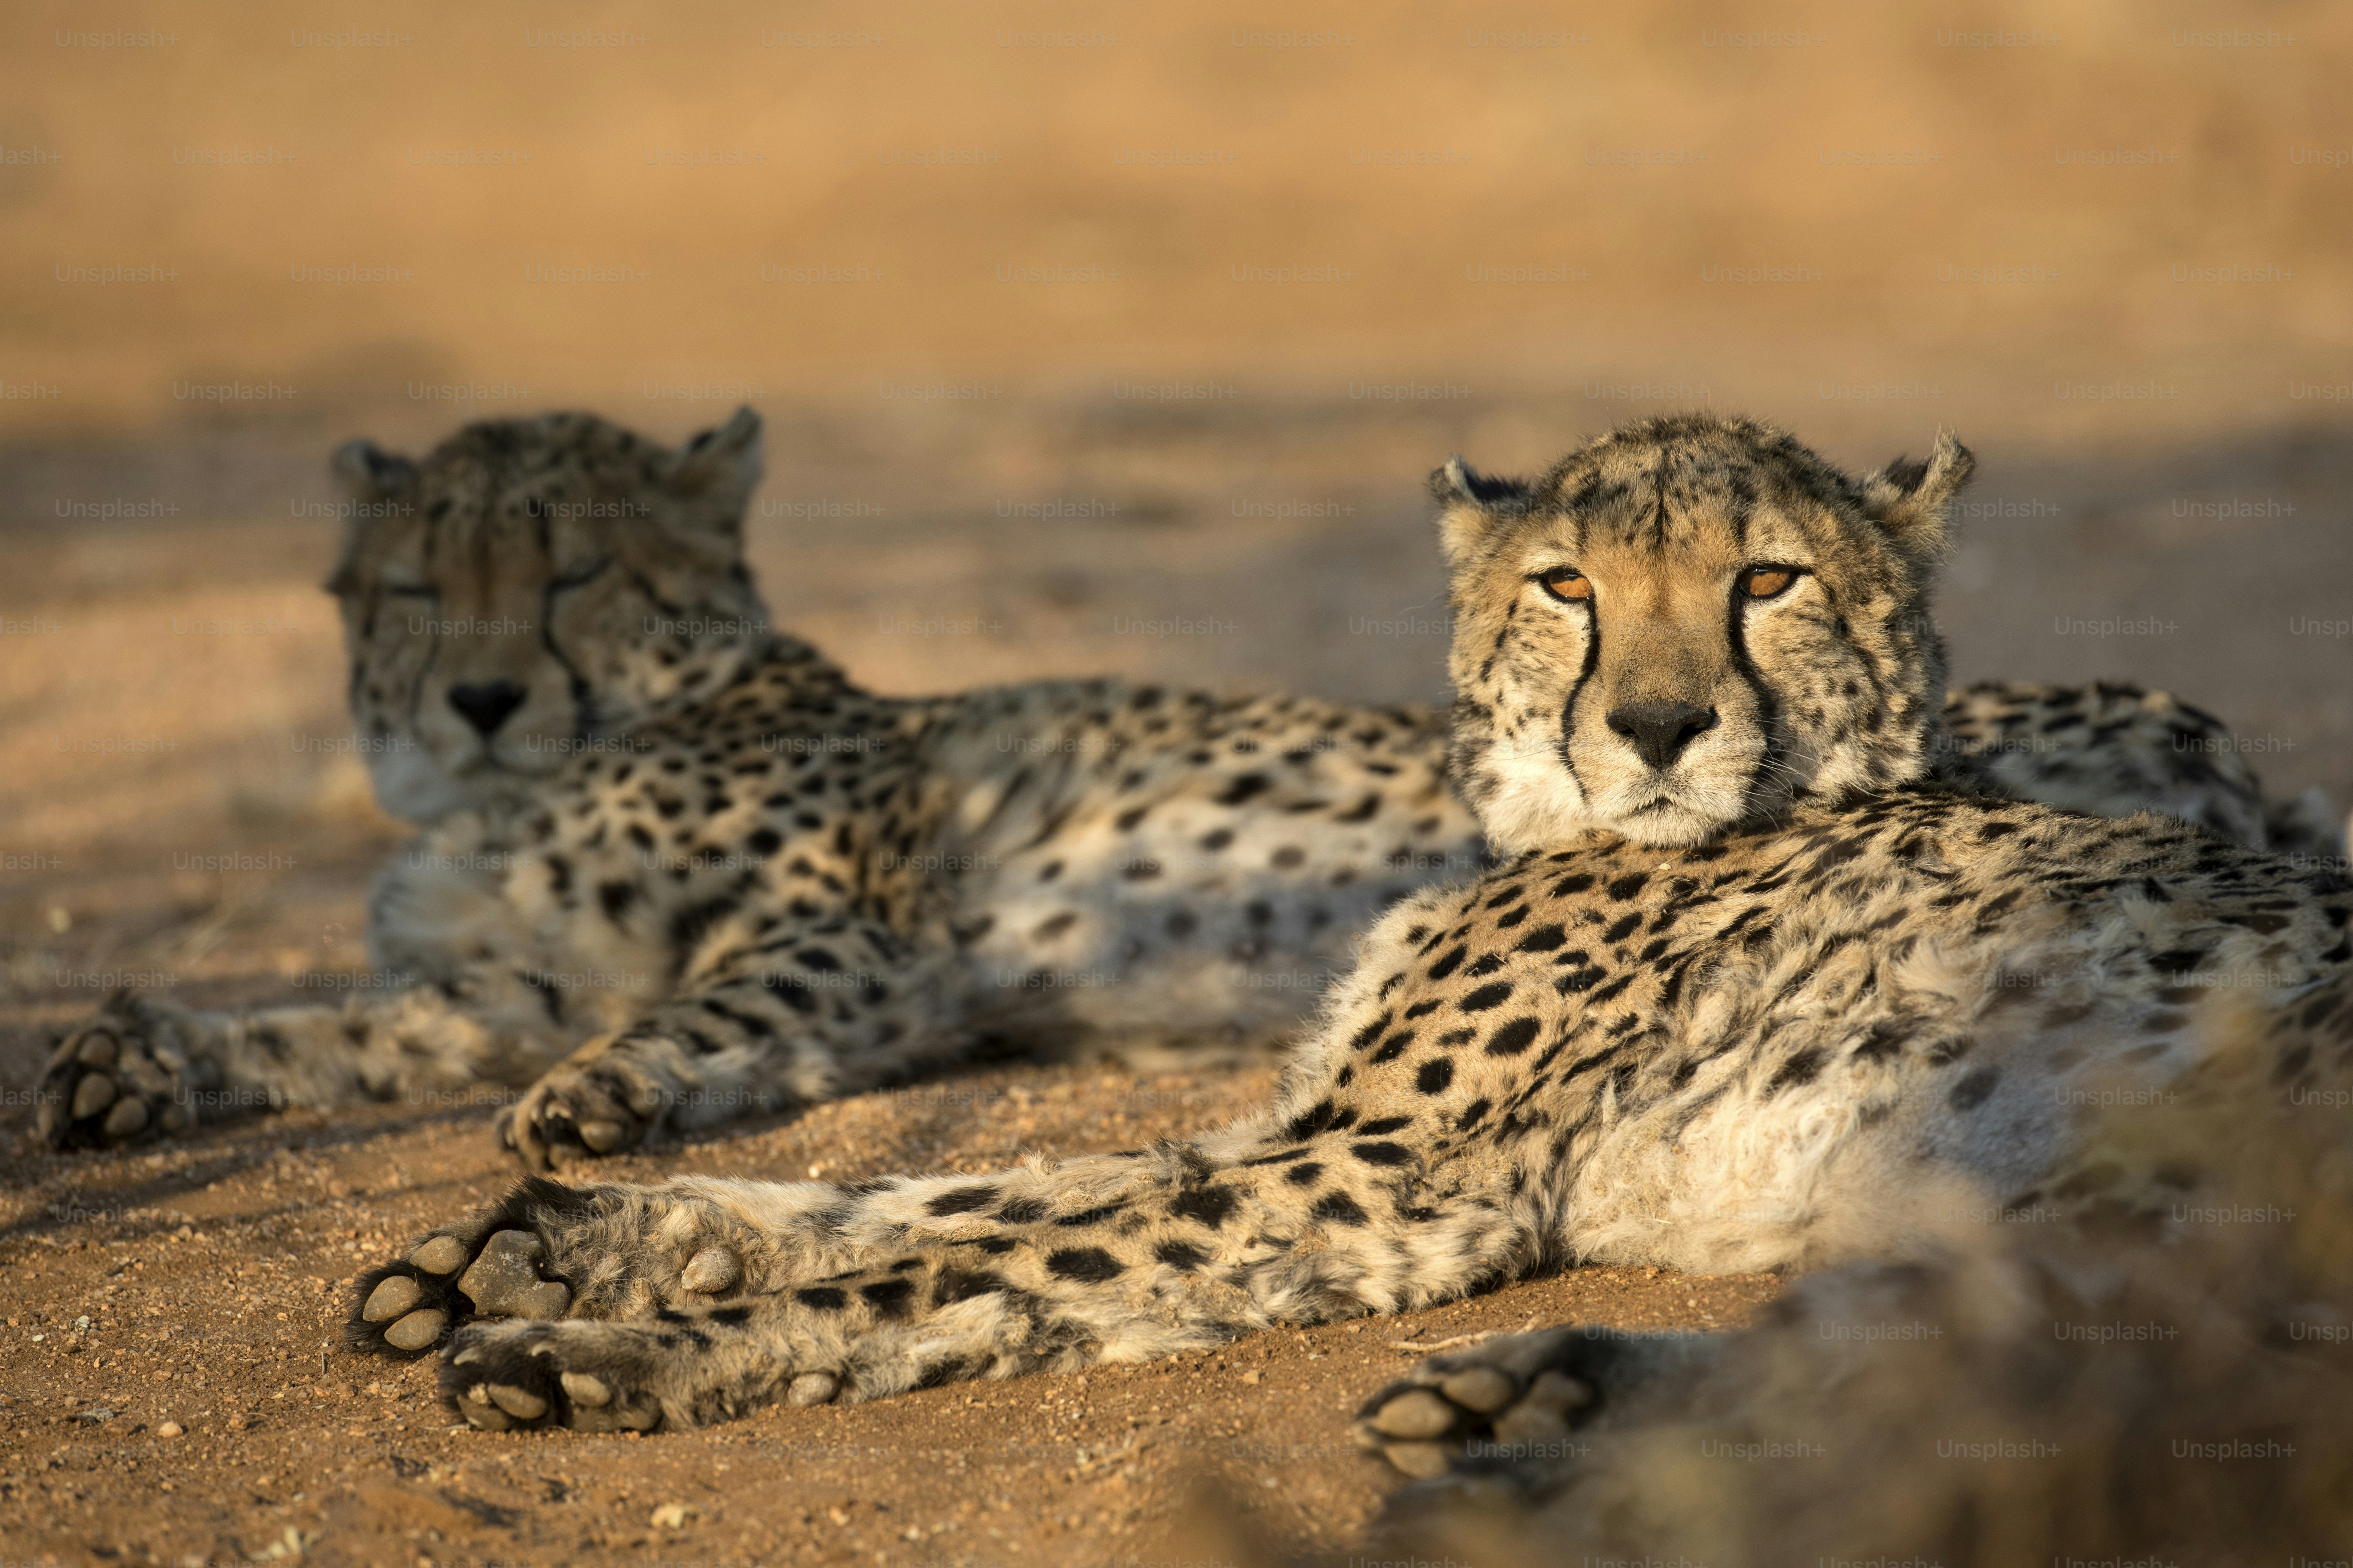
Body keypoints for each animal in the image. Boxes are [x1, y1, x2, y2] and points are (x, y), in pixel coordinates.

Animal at [41, 408, 2327, 1171]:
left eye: (577, 567)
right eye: (422, 582)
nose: (489, 693)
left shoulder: (860, 936)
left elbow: (708, 1007)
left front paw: (602, 1104)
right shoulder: (476, 982)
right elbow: (326, 1027)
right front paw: (127, 1065)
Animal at [321, 412, 2350, 1451]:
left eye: (1766, 580)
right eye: (1567, 586)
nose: (1656, 725)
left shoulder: (1386, 1173)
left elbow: (965, 1259)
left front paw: (627, 1350)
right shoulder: (1318, 1133)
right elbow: (953, 1196)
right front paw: (556, 1237)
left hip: (2148, 1168)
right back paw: (1536, 1393)